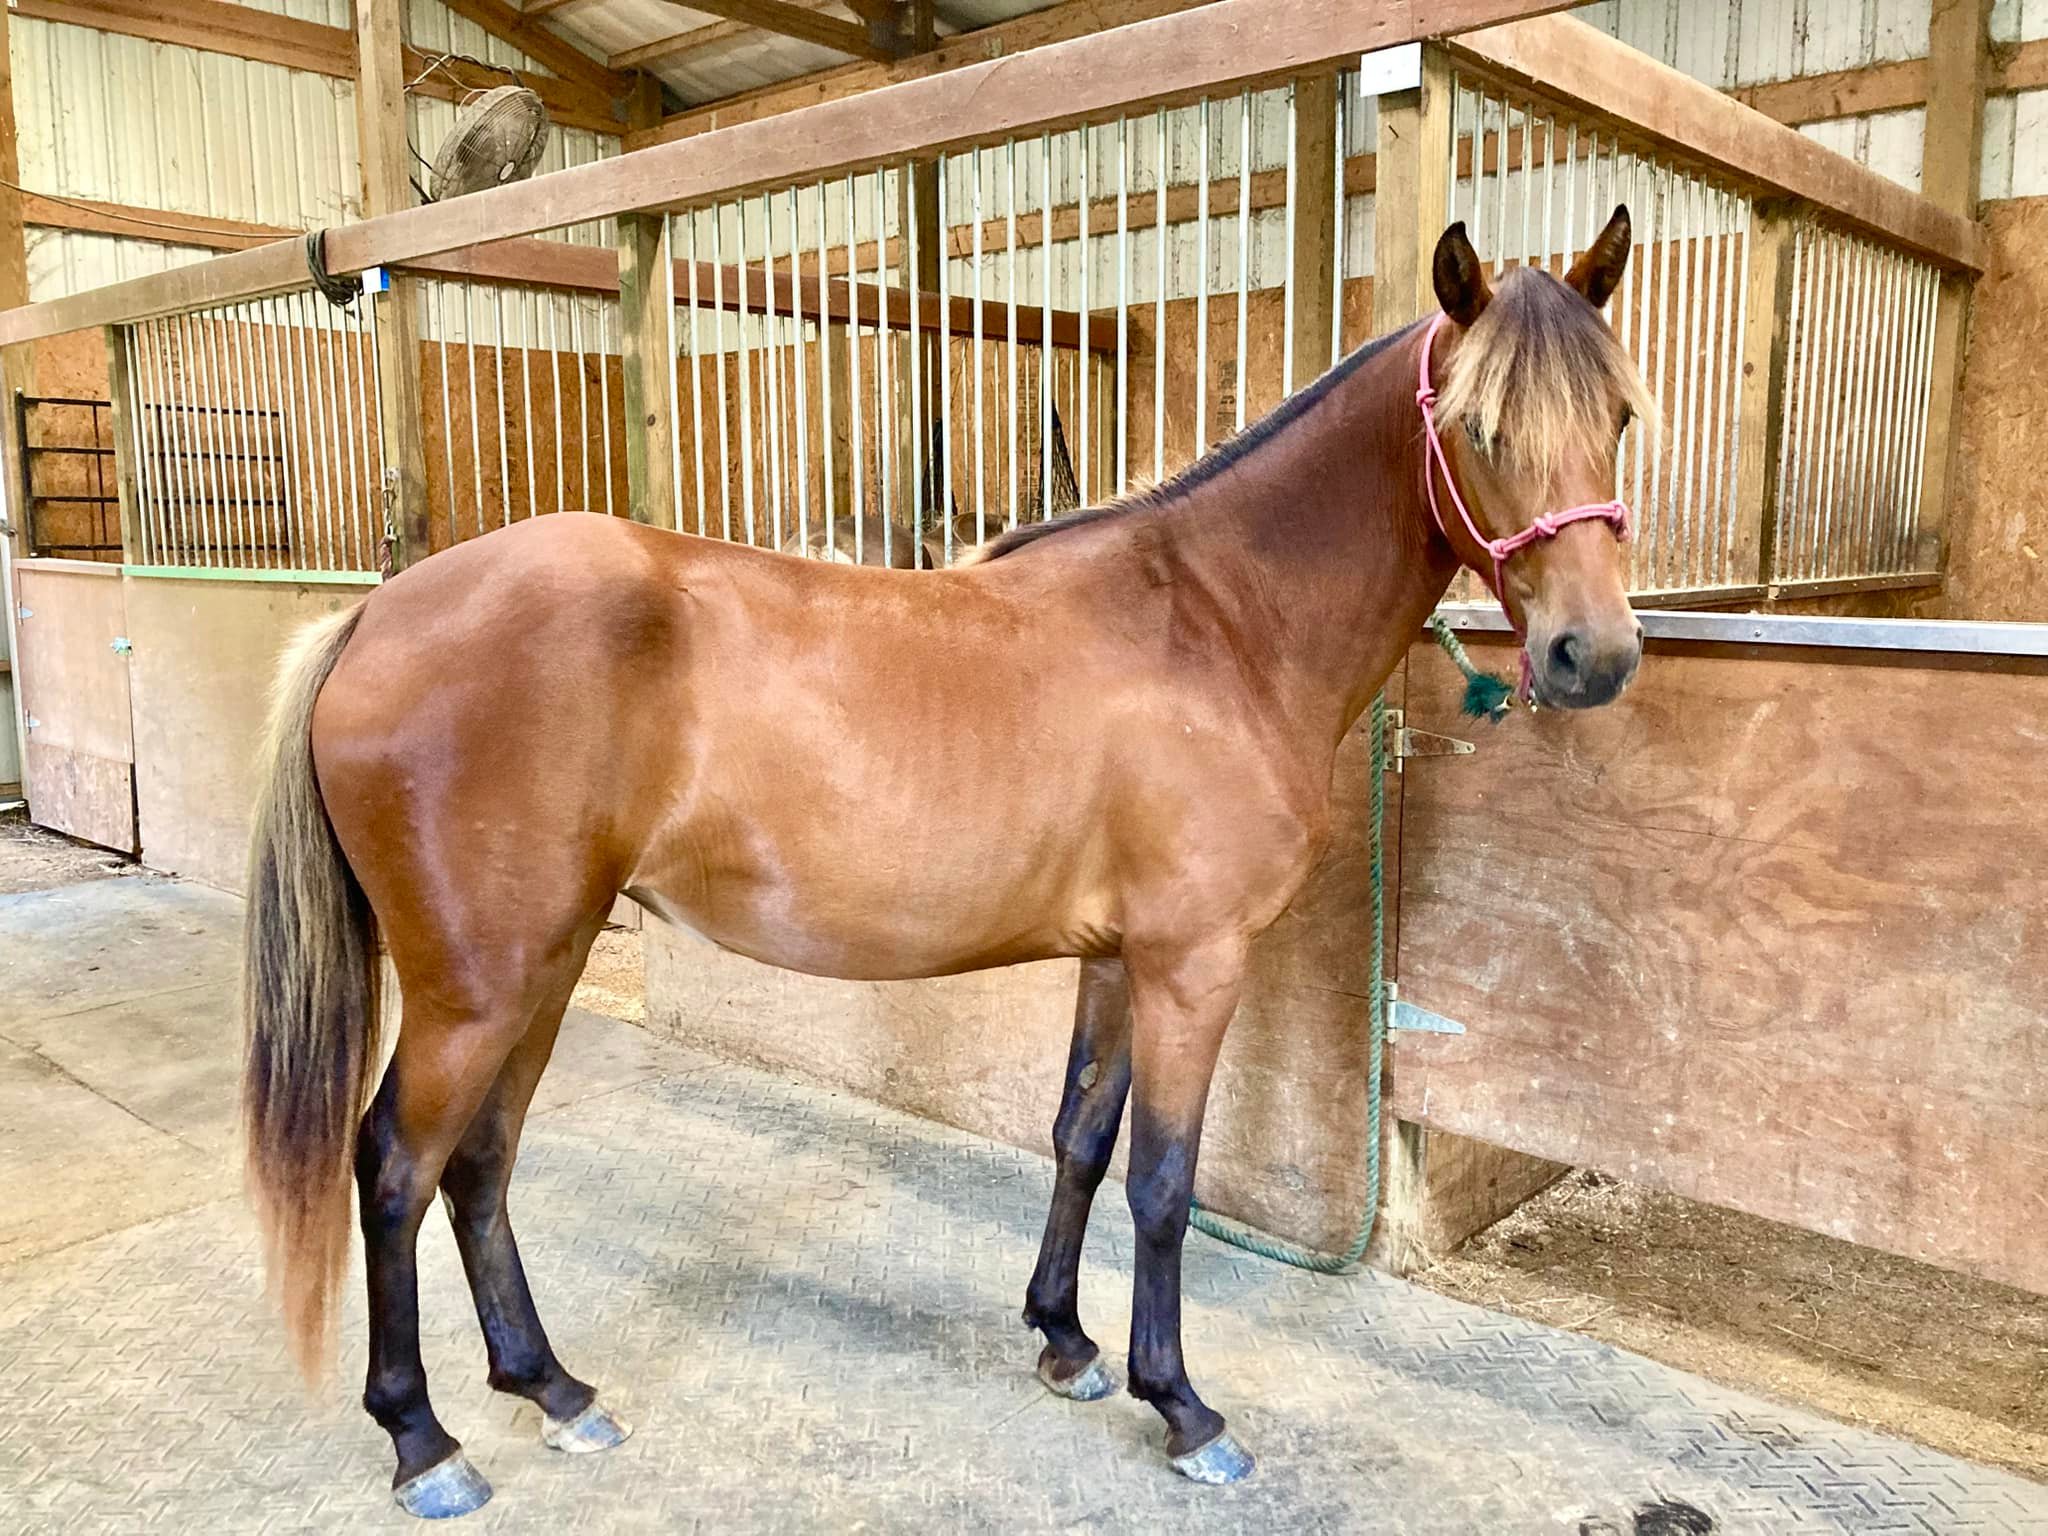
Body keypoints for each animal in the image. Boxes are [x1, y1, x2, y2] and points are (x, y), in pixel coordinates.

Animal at [242, 209, 1656, 1517]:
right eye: (1478, 428)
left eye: (1621, 417)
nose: (1593, 655)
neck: (1214, 625)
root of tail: (379, 613)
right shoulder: (1193, 963)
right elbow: (1161, 1181)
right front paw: (1182, 1407)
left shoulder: (1118, 962)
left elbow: (1080, 1137)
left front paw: (1065, 1341)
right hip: (476, 987)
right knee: (395, 1168)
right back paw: (423, 1441)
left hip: (543, 964)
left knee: (479, 1165)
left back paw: (550, 1387)